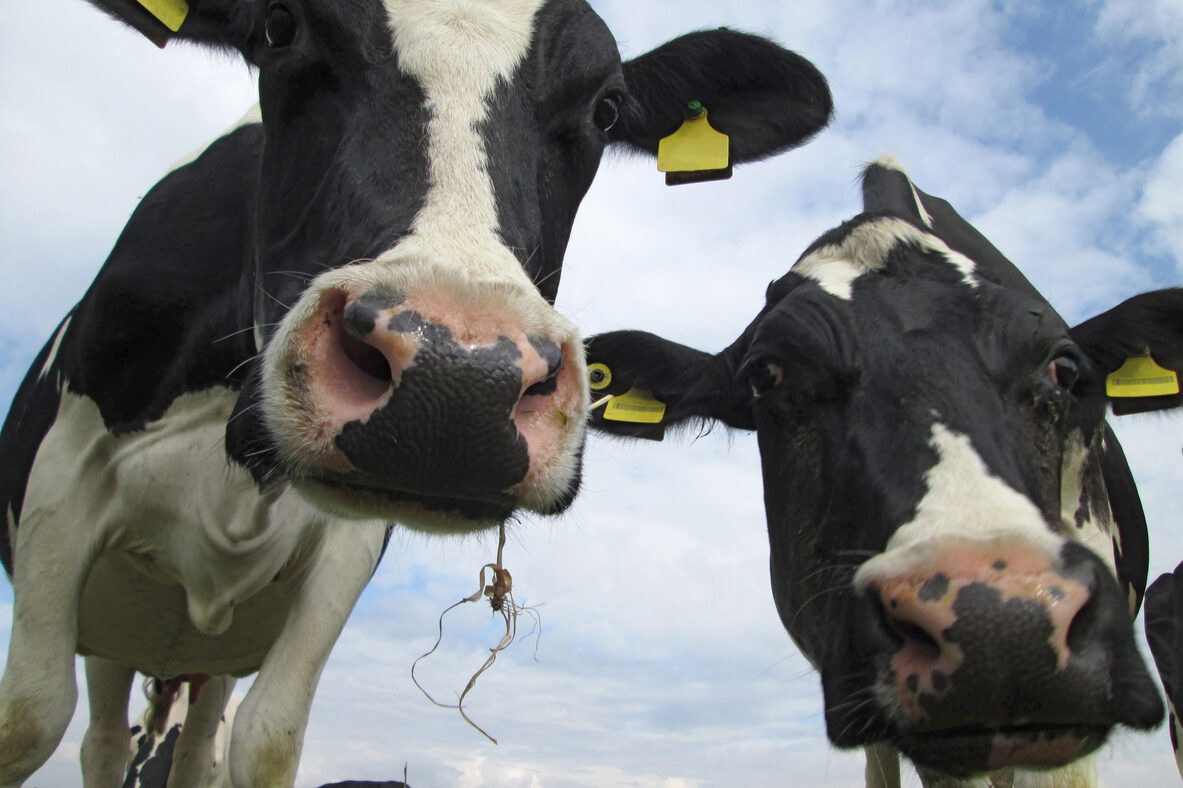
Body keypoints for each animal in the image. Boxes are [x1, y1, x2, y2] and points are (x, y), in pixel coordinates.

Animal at [0, 1, 835, 784]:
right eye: (280, 27)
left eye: (605, 106)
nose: (457, 381)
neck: (242, 464)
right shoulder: (64, 476)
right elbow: (29, 717)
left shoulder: (347, 543)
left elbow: (268, 738)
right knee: (103, 743)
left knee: (197, 748)